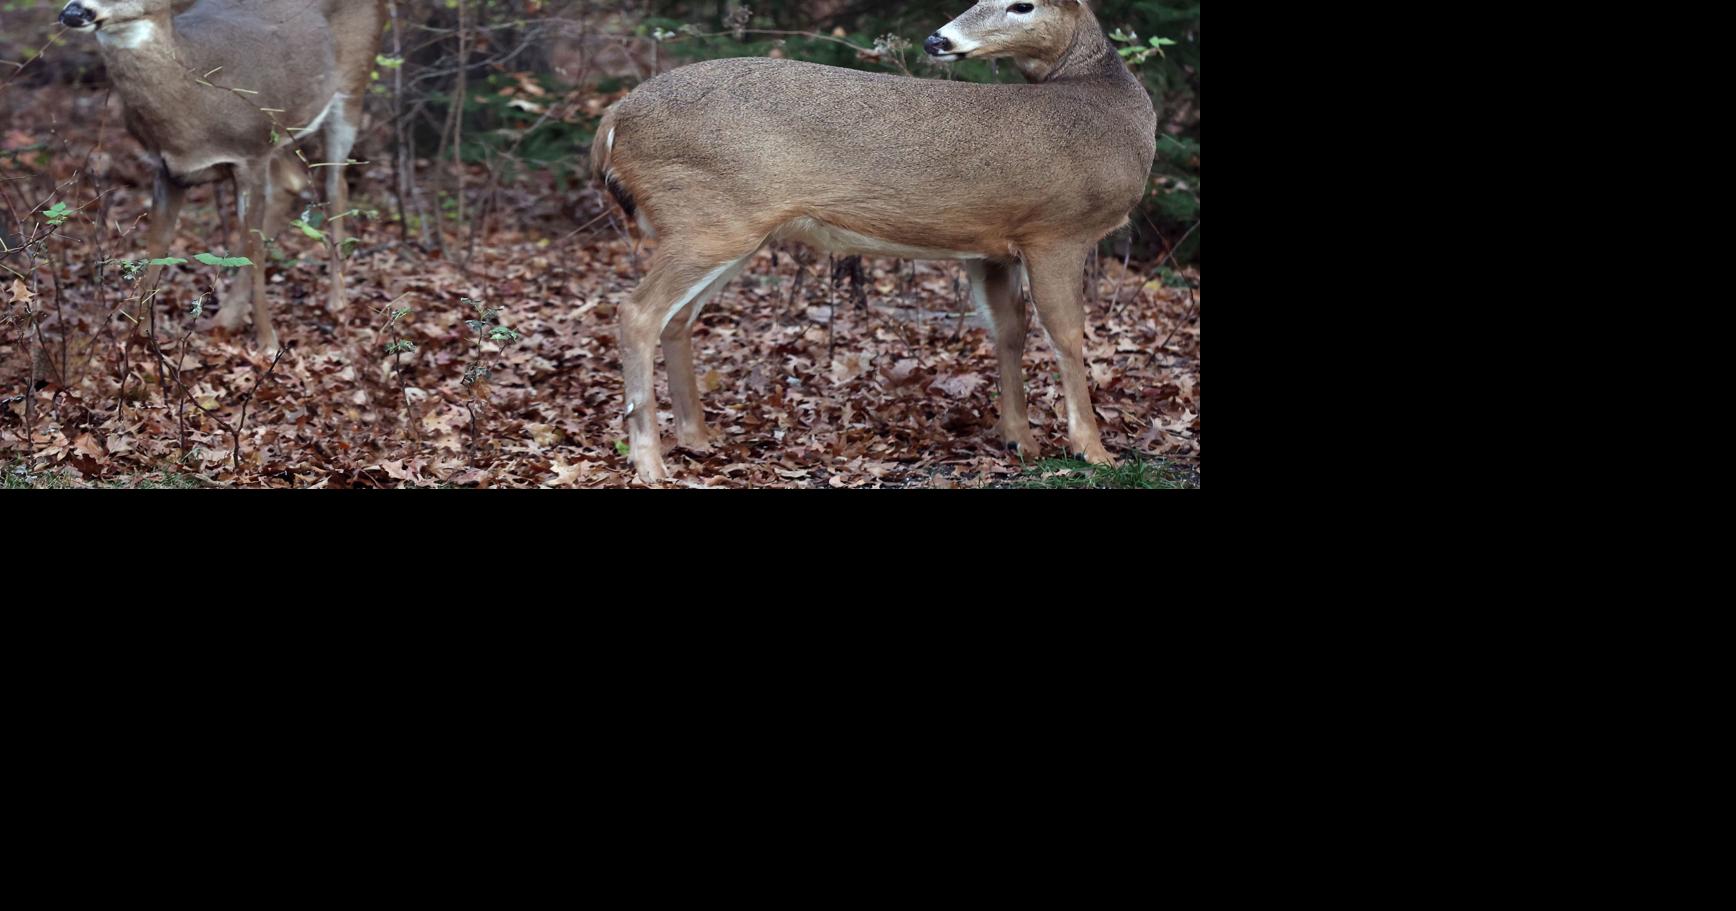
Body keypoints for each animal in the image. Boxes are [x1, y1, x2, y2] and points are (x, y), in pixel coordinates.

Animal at [57, 0, 388, 352]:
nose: (74, 12)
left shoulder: (251, 152)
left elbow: (253, 244)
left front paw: (268, 342)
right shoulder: (169, 169)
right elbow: (157, 244)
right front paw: (139, 337)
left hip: (352, 85)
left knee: (336, 186)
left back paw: (336, 301)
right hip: (281, 132)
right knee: (292, 182)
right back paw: (226, 317)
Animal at [591, 0, 1157, 484]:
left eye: (1023, 4)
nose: (937, 39)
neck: (1104, 103)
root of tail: (613, 120)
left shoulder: (991, 246)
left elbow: (1008, 331)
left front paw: (1020, 440)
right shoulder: (1057, 231)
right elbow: (1067, 335)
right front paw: (1094, 451)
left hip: (727, 229)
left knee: (678, 319)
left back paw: (698, 438)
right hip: (709, 219)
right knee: (637, 312)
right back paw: (649, 461)